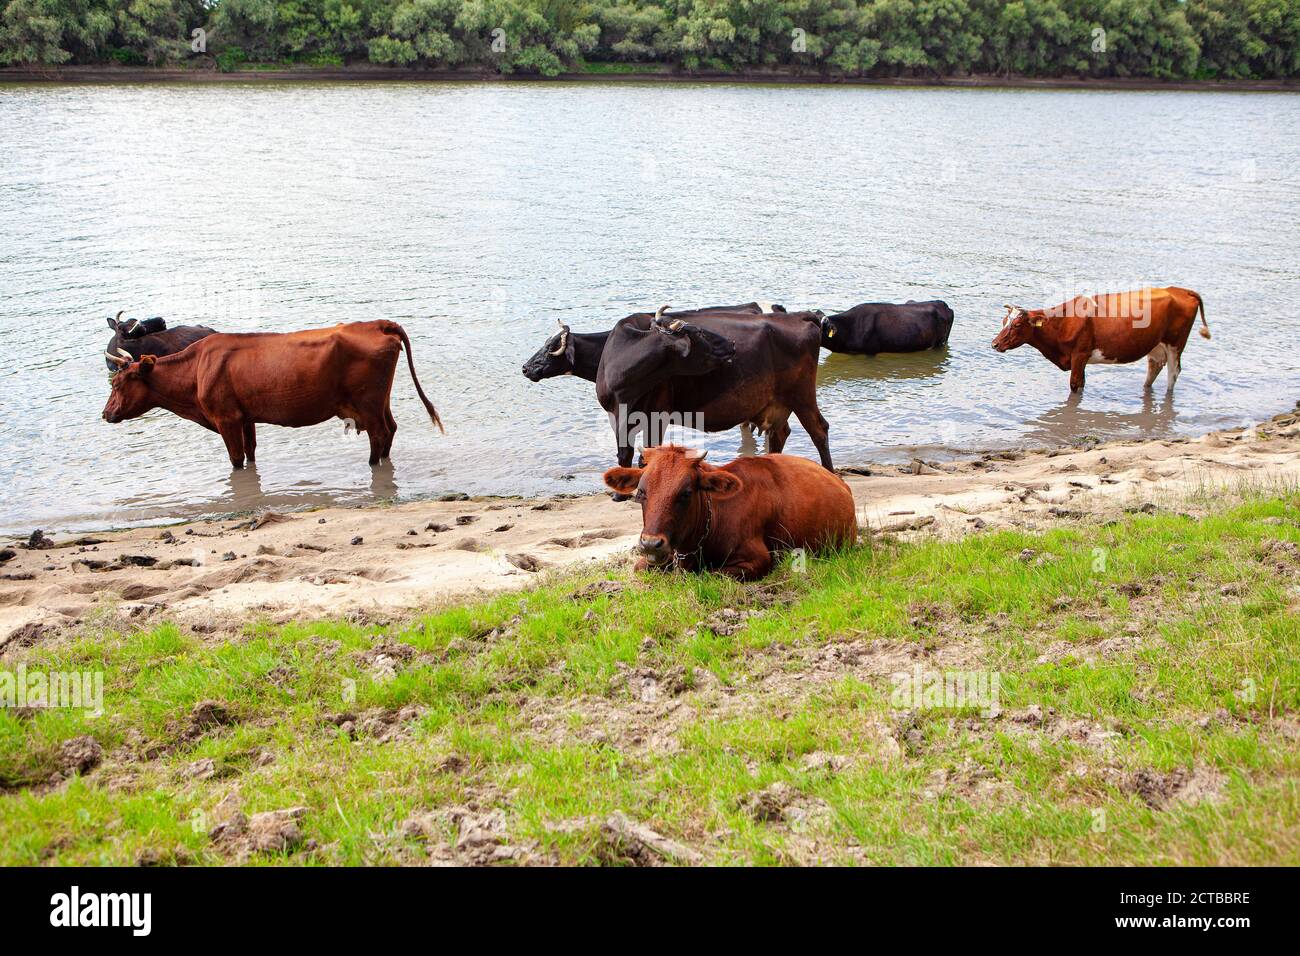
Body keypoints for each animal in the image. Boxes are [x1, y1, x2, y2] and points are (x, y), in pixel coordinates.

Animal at [102, 320, 443, 468]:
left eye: (118, 384)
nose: (106, 413)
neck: (197, 369)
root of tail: (377, 324)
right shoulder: (245, 417)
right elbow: (251, 452)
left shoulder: (225, 418)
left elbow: (236, 458)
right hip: (378, 400)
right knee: (390, 430)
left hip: (368, 402)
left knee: (379, 434)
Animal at [596, 306, 832, 489]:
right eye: (700, 333)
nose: (732, 344)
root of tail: (798, 315)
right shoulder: (617, 416)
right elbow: (625, 452)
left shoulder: (658, 413)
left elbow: (648, 451)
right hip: (778, 401)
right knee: (779, 433)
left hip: (801, 395)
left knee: (818, 430)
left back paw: (830, 474)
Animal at [603, 445, 856, 580]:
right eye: (641, 492)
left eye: (686, 493)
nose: (651, 543)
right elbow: (639, 567)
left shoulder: (759, 559)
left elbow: (714, 573)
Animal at [991, 287, 1209, 394]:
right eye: (1004, 321)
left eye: (1017, 325)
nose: (995, 344)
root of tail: (1179, 290)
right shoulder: (1081, 359)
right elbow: (1081, 384)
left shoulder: (1079, 355)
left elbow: (1074, 384)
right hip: (1155, 344)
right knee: (1154, 367)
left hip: (1175, 344)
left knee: (1173, 372)